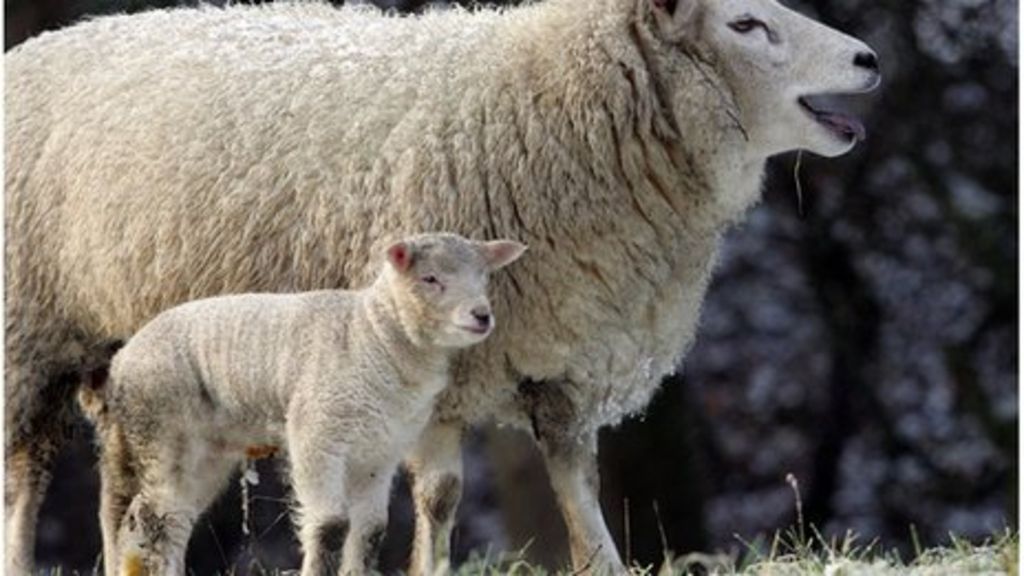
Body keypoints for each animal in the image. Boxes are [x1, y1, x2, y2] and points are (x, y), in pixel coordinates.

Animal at [77, 233, 527, 576]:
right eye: (430, 278)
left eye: (484, 277)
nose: (481, 315)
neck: (371, 336)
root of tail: (122, 361)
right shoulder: (317, 435)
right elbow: (331, 526)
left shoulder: (378, 451)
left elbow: (371, 530)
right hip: (161, 432)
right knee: (151, 518)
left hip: (203, 452)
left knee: (166, 520)